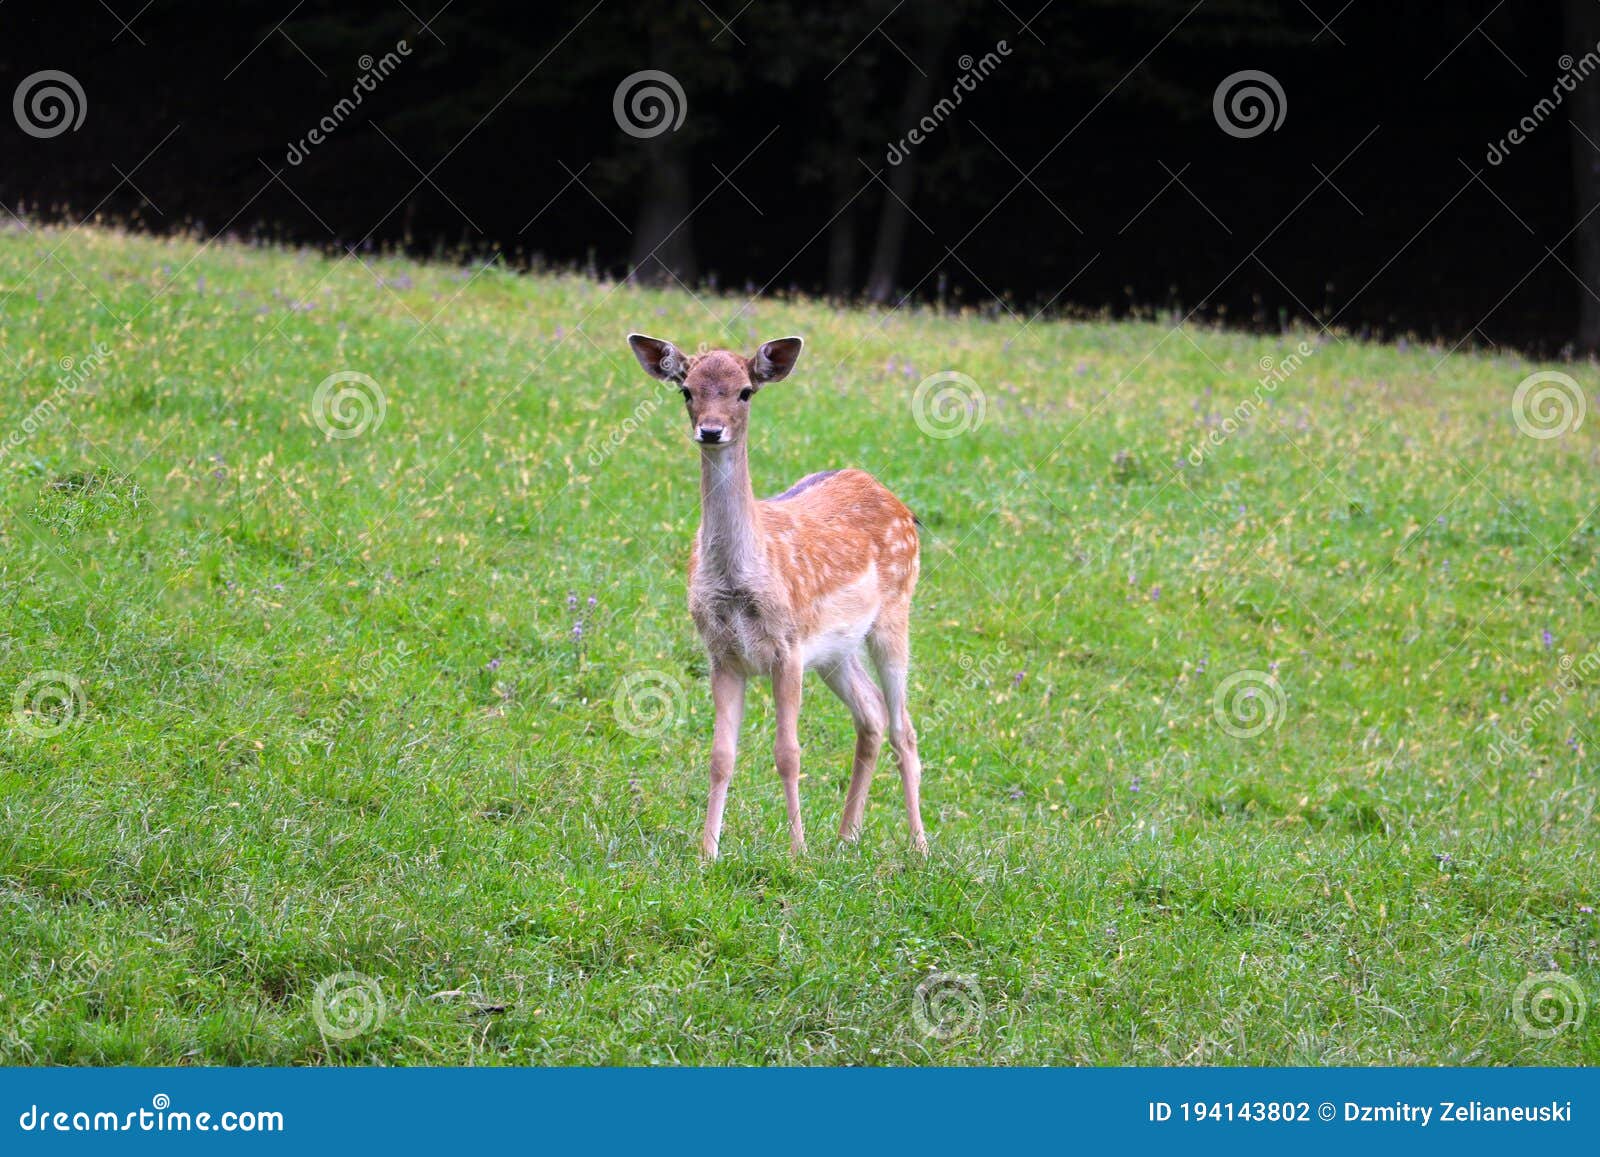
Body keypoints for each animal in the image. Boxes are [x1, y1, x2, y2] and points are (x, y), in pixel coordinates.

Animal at [626, 333, 927, 860]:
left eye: (745, 391)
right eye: (686, 389)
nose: (711, 431)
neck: (737, 582)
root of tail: (901, 507)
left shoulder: (787, 648)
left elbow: (788, 752)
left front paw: (797, 851)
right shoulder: (722, 653)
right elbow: (720, 755)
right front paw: (707, 854)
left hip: (894, 612)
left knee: (903, 728)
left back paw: (918, 847)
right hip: (835, 650)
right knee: (870, 713)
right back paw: (846, 836)